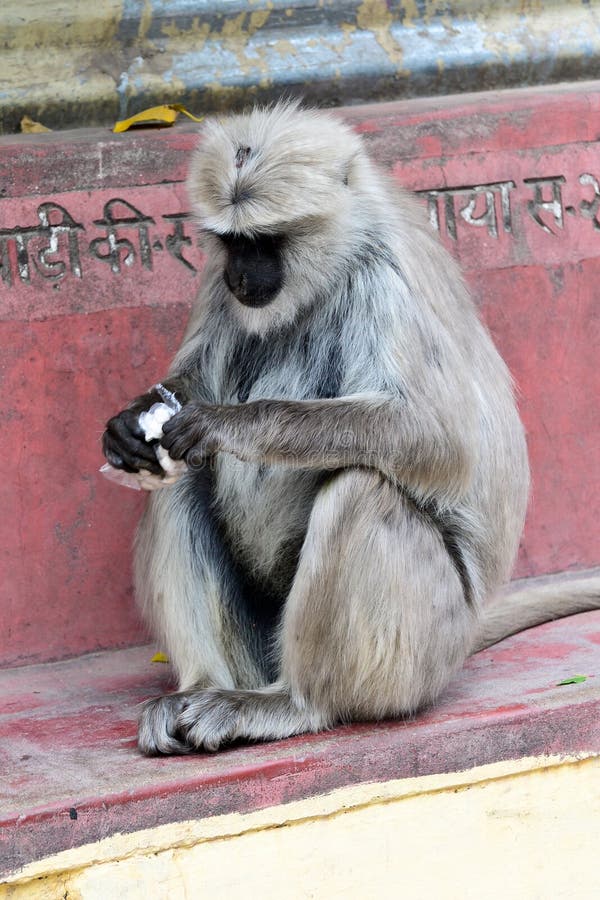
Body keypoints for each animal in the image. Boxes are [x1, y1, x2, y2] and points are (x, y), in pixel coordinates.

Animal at [102, 100, 600, 755]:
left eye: (266, 242)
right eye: (231, 243)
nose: (241, 276)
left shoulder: (384, 276)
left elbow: (437, 441)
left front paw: (224, 424)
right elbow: (191, 386)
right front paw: (128, 425)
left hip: (424, 646)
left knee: (362, 488)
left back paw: (295, 704)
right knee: (179, 481)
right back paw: (201, 687)